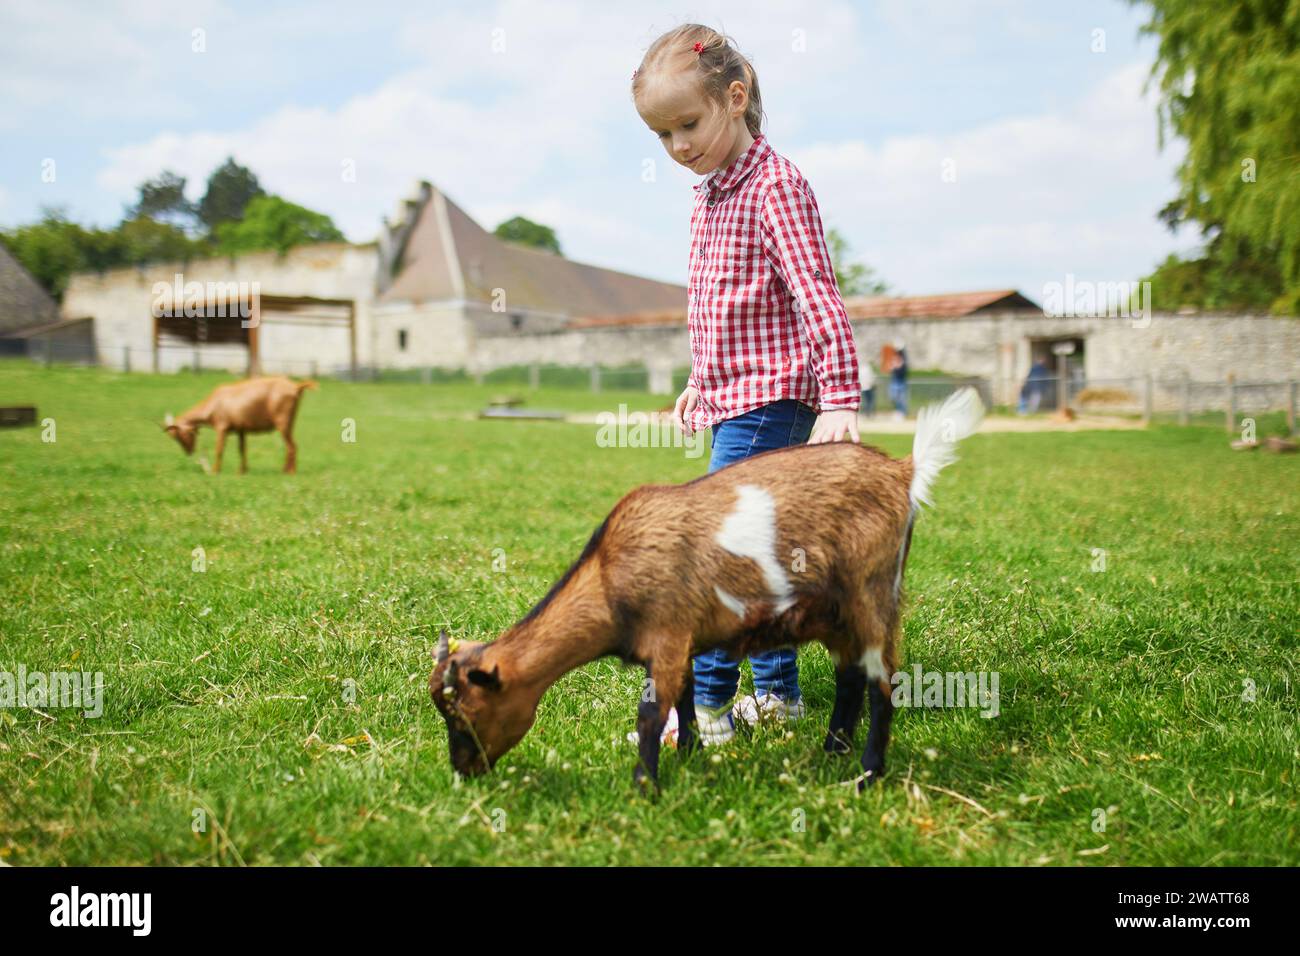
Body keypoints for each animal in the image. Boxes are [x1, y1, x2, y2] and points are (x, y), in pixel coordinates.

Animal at [161, 376, 316, 474]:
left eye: (177, 435)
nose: (189, 452)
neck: (214, 403)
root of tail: (296, 387)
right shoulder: (241, 430)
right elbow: (242, 449)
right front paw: (242, 471)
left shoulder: (222, 428)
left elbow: (219, 449)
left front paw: (215, 471)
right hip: (289, 423)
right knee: (289, 446)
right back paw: (285, 470)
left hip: (283, 423)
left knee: (292, 446)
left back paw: (290, 472)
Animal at [430, 387, 985, 791]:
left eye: (463, 714)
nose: (462, 771)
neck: (609, 581)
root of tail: (902, 472)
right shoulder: (683, 641)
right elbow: (685, 698)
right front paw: (690, 756)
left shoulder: (668, 635)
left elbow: (652, 713)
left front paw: (646, 788)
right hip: (835, 613)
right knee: (850, 678)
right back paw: (833, 755)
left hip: (872, 594)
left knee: (882, 684)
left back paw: (867, 775)